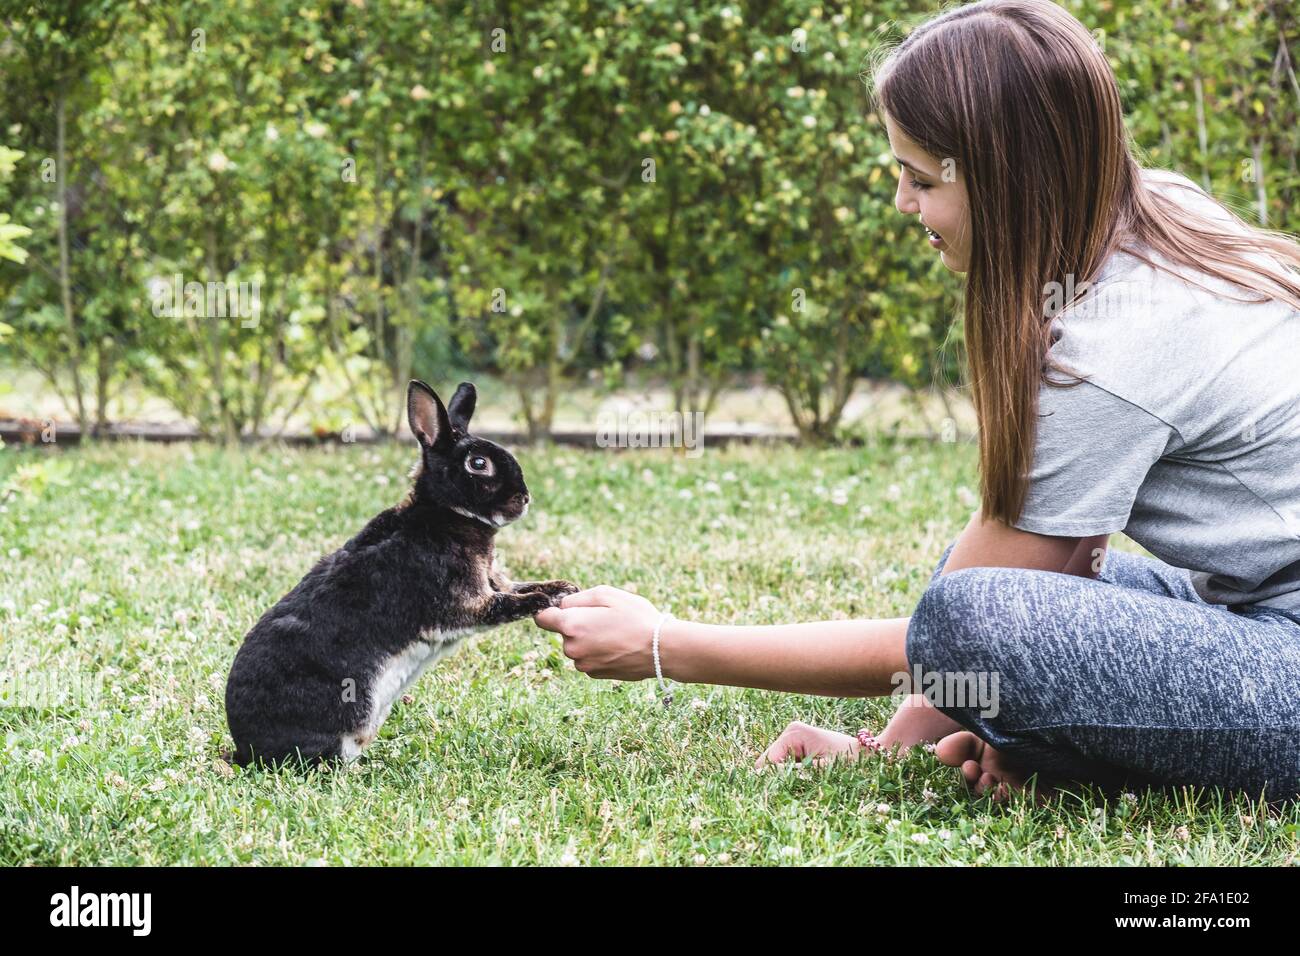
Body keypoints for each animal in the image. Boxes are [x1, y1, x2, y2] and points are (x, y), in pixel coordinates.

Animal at [223, 379, 579, 768]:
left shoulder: (494, 581)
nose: (524, 499)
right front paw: (542, 599)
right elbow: (505, 605)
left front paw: (564, 587)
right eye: (478, 464)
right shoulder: (464, 604)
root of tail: (247, 748)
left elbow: (516, 587)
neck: (446, 513)